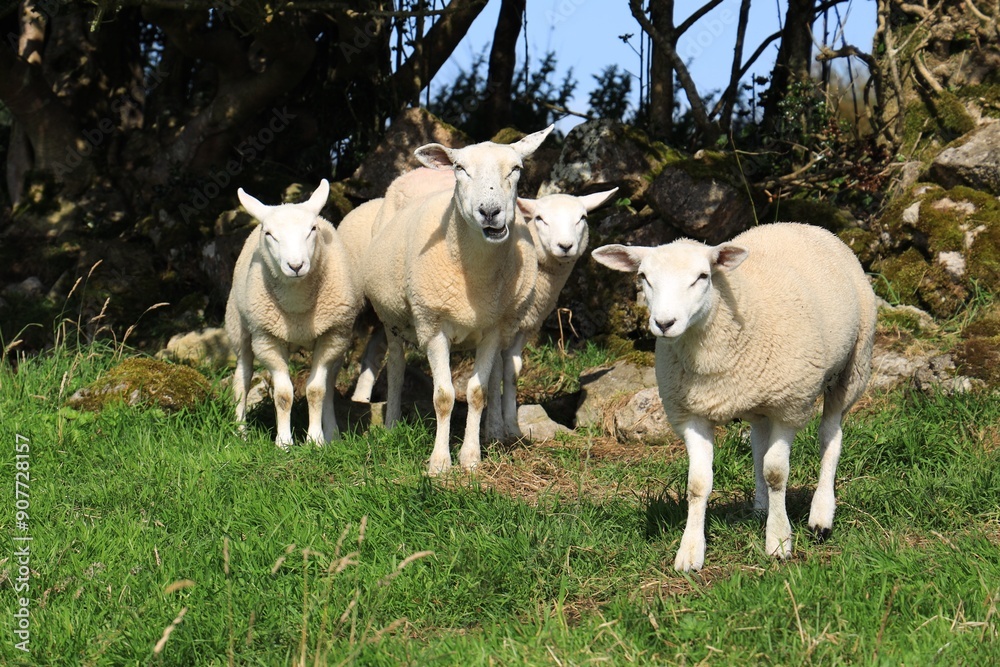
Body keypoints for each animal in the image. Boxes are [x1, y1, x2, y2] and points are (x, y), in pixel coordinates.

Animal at [225, 179, 363, 449]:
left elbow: (317, 390)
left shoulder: (332, 336)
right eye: (269, 234)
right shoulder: (267, 339)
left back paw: (332, 433)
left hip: (341, 340)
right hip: (241, 329)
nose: (296, 266)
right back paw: (241, 431)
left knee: (329, 384)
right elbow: (283, 394)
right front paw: (283, 442)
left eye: (312, 229)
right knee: (242, 379)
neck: (297, 306)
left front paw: (315, 440)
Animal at [363, 126, 553, 475]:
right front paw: (439, 463)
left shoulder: (492, 328)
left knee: (495, 374)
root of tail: (421, 171)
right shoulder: (433, 326)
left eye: (516, 168)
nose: (490, 212)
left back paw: (494, 432)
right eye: (460, 169)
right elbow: (443, 397)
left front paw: (471, 457)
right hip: (392, 318)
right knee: (395, 365)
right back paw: (392, 424)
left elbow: (478, 392)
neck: (476, 277)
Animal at [487, 188, 619, 440]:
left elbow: (512, 371)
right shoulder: (494, 326)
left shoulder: (522, 324)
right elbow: (494, 371)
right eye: (540, 218)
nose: (565, 246)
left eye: (582, 218)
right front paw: (495, 431)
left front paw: (513, 428)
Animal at [591, 222, 877, 571]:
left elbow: (776, 473)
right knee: (758, 443)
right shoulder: (690, 412)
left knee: (830, 436)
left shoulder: (789, 407)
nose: (664, 323)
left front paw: (778, 541)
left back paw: (821, 516)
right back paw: (761, 507)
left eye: (703, 276)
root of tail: (799, 225)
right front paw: (690, 552)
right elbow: (698, 484)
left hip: (854, 364)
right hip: (760, 400)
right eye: (643, 276)